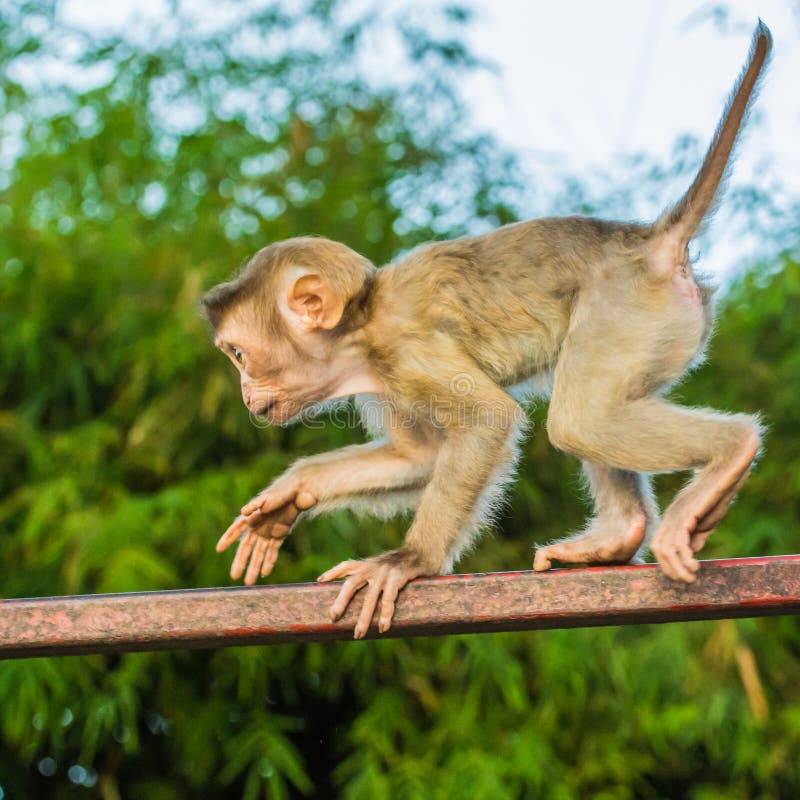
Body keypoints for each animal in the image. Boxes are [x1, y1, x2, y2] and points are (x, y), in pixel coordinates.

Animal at [202, 23, 771, 639]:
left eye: (238, 354)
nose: (244, 392)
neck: (362, 325)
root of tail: (650, 245)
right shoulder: (385, 379)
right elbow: (418, 457)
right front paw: (294, 491)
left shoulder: (408, 350)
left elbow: (489, 420)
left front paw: (409, 561)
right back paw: (618, 536)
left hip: (629, 306)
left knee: (582, 418)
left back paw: (731, 452)